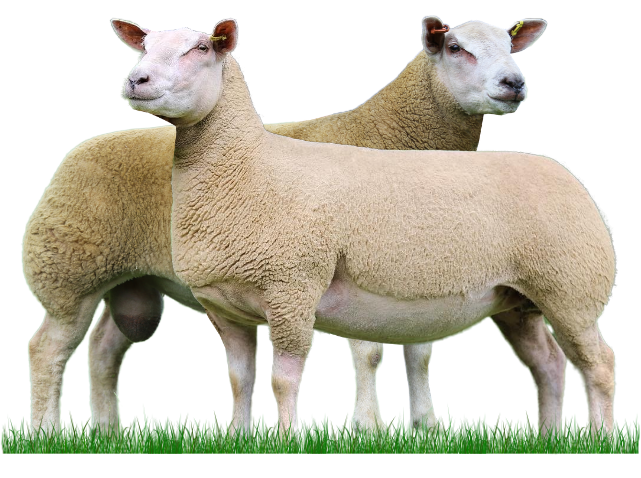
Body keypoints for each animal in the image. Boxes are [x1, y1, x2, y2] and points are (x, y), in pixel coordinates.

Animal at [23, 15, 547, 444]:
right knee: (48, 350)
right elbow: (369, 354)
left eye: (511, 47)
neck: (393, 136)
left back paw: (107, 432)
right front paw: (369, 427)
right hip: (68, 271)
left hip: (132, 282)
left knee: (104, 348)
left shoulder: (421, 267)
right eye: (456, 47)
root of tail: (83, 148)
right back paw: (47, 436)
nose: (514, 82)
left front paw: (427, 426)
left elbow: (419, 352)